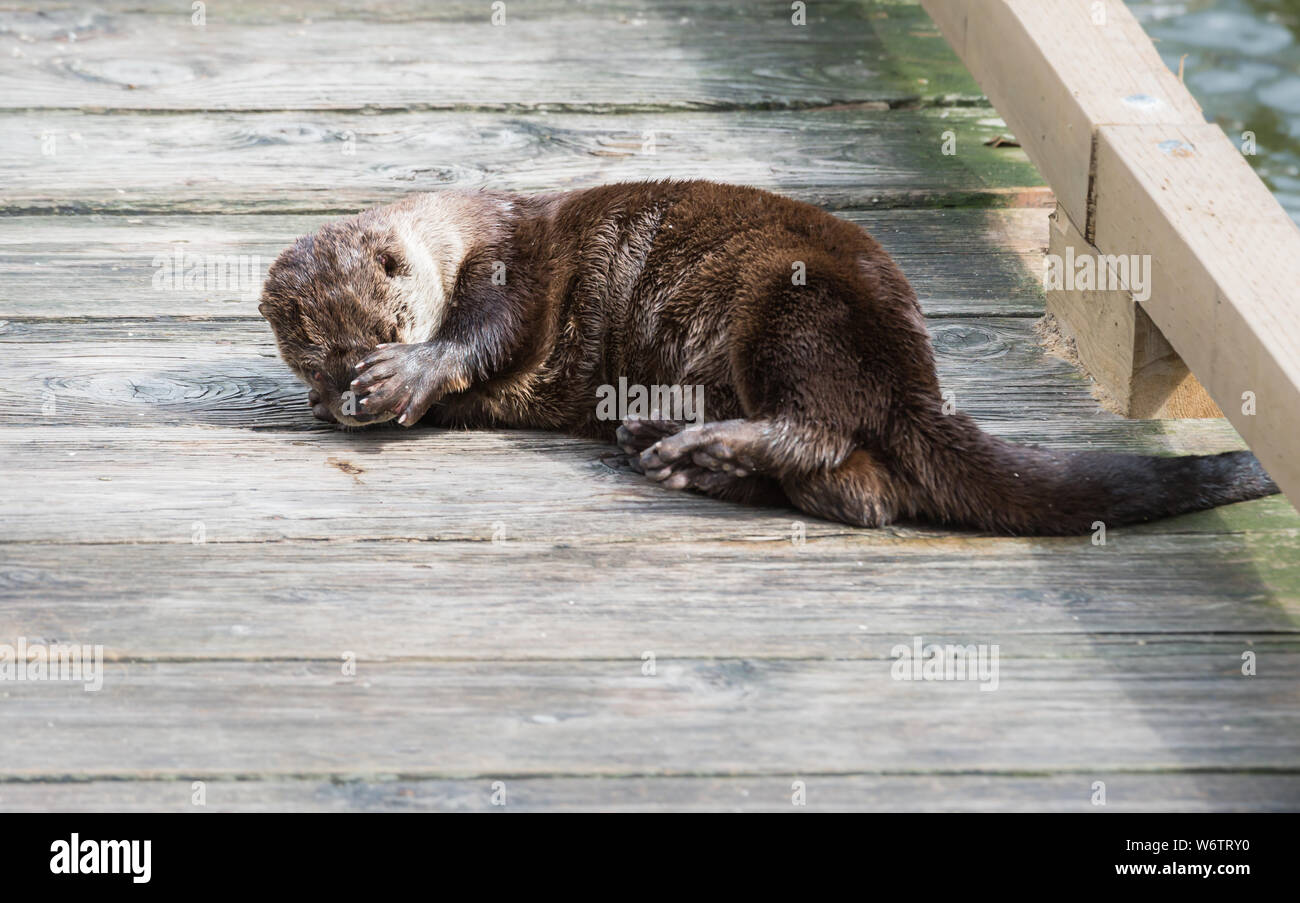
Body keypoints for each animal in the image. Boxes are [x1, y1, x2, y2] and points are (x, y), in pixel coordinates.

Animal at [258, 180, 1278, 535]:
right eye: (318, 355)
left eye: (387, 324)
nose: (348, 390)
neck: (466, 229)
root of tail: (912, 366)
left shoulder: (512, 262)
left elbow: (487, 332)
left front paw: (409, 378)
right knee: (865, 494)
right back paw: (672, 448)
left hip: (791, 308)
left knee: (821, 429)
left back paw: (687, 447)